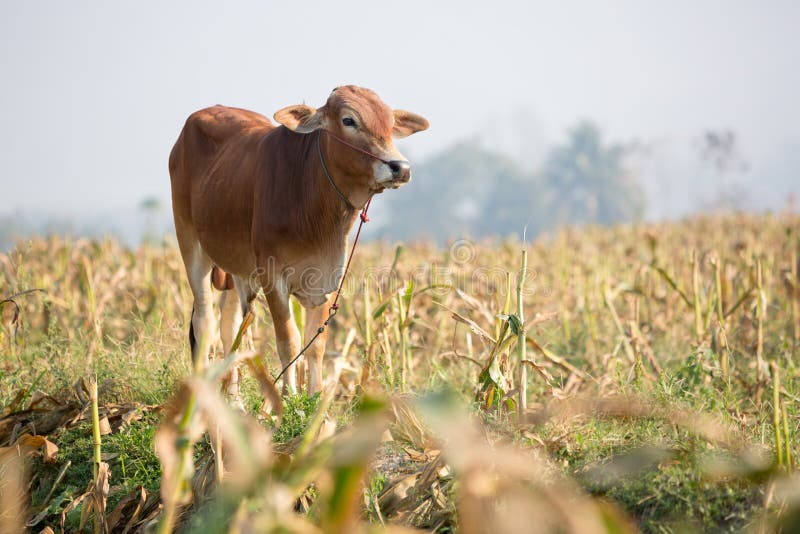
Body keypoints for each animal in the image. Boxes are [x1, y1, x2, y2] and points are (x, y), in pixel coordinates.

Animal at [169, 85, 429, 400]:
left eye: (390, 123)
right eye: (349, 120)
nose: (399, 167)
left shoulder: (328, 279)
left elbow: (316, 344)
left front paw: (315, 396)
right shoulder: (272, 276)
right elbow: (288, 339)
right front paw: (289, 396)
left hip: (236, 267)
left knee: (231, 325)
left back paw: (235, 401)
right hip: (190, 243)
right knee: (204, 320)